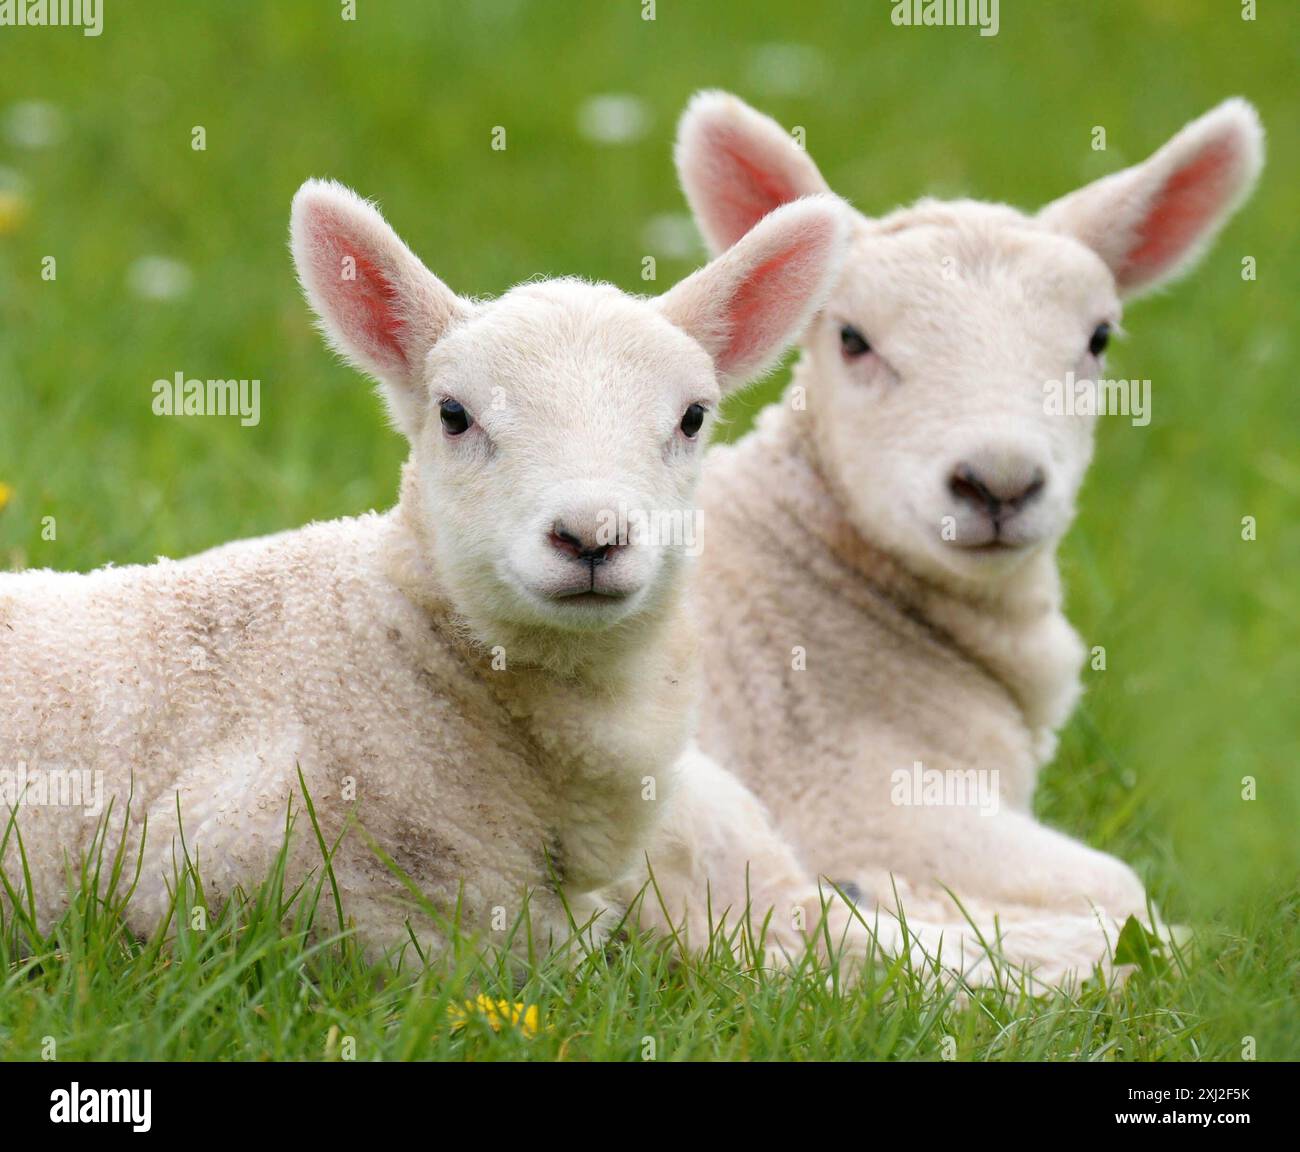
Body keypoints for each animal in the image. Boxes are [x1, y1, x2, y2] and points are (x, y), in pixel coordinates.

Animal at [668, 91, 1264, 983]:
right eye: (851, 339)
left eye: (1099, 339)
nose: (999, 483)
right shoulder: (858, 792)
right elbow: (1120, 881)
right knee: (793, 933)